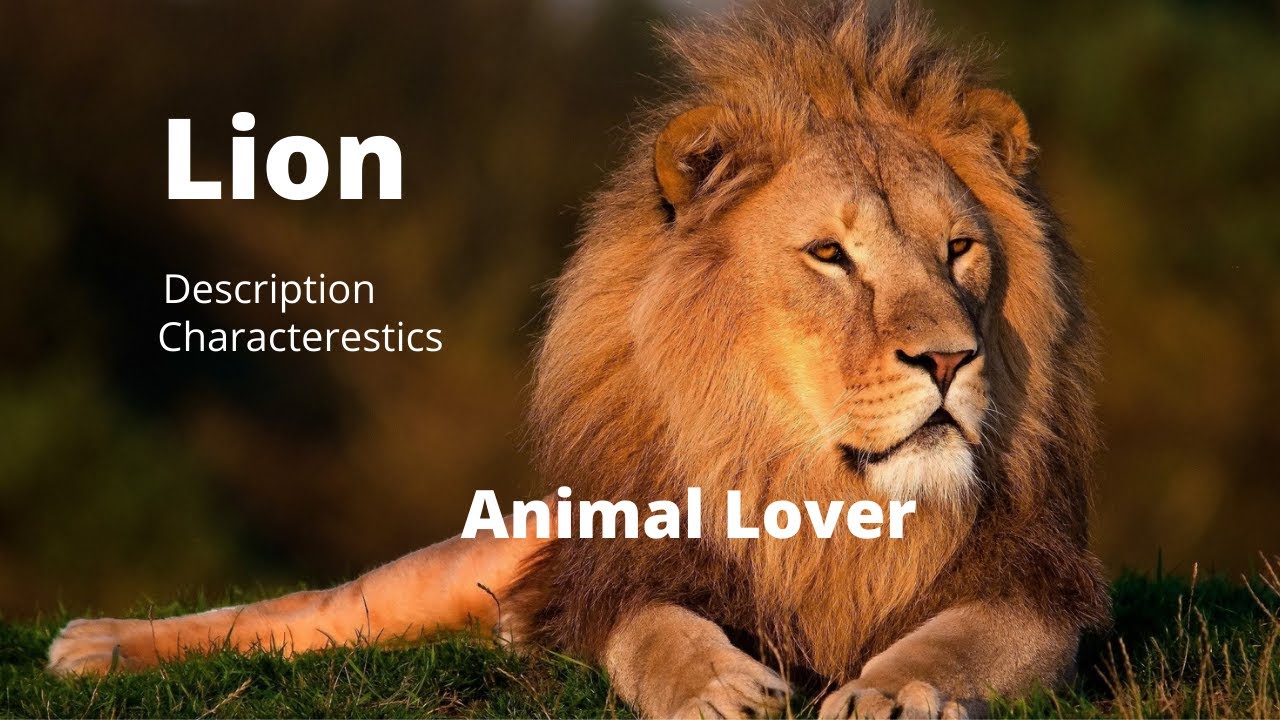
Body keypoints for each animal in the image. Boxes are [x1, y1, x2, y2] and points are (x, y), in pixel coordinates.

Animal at [47, 1, 1109, 717]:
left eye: (959, 249)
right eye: (830, 255)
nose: (951, 359)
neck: (818, 494)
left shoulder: (1036, 590)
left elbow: (960, 641)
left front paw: (893, 690)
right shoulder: (623, 577)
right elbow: (656, 634)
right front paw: (717, 687)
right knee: (312, 610)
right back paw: (91, 645)